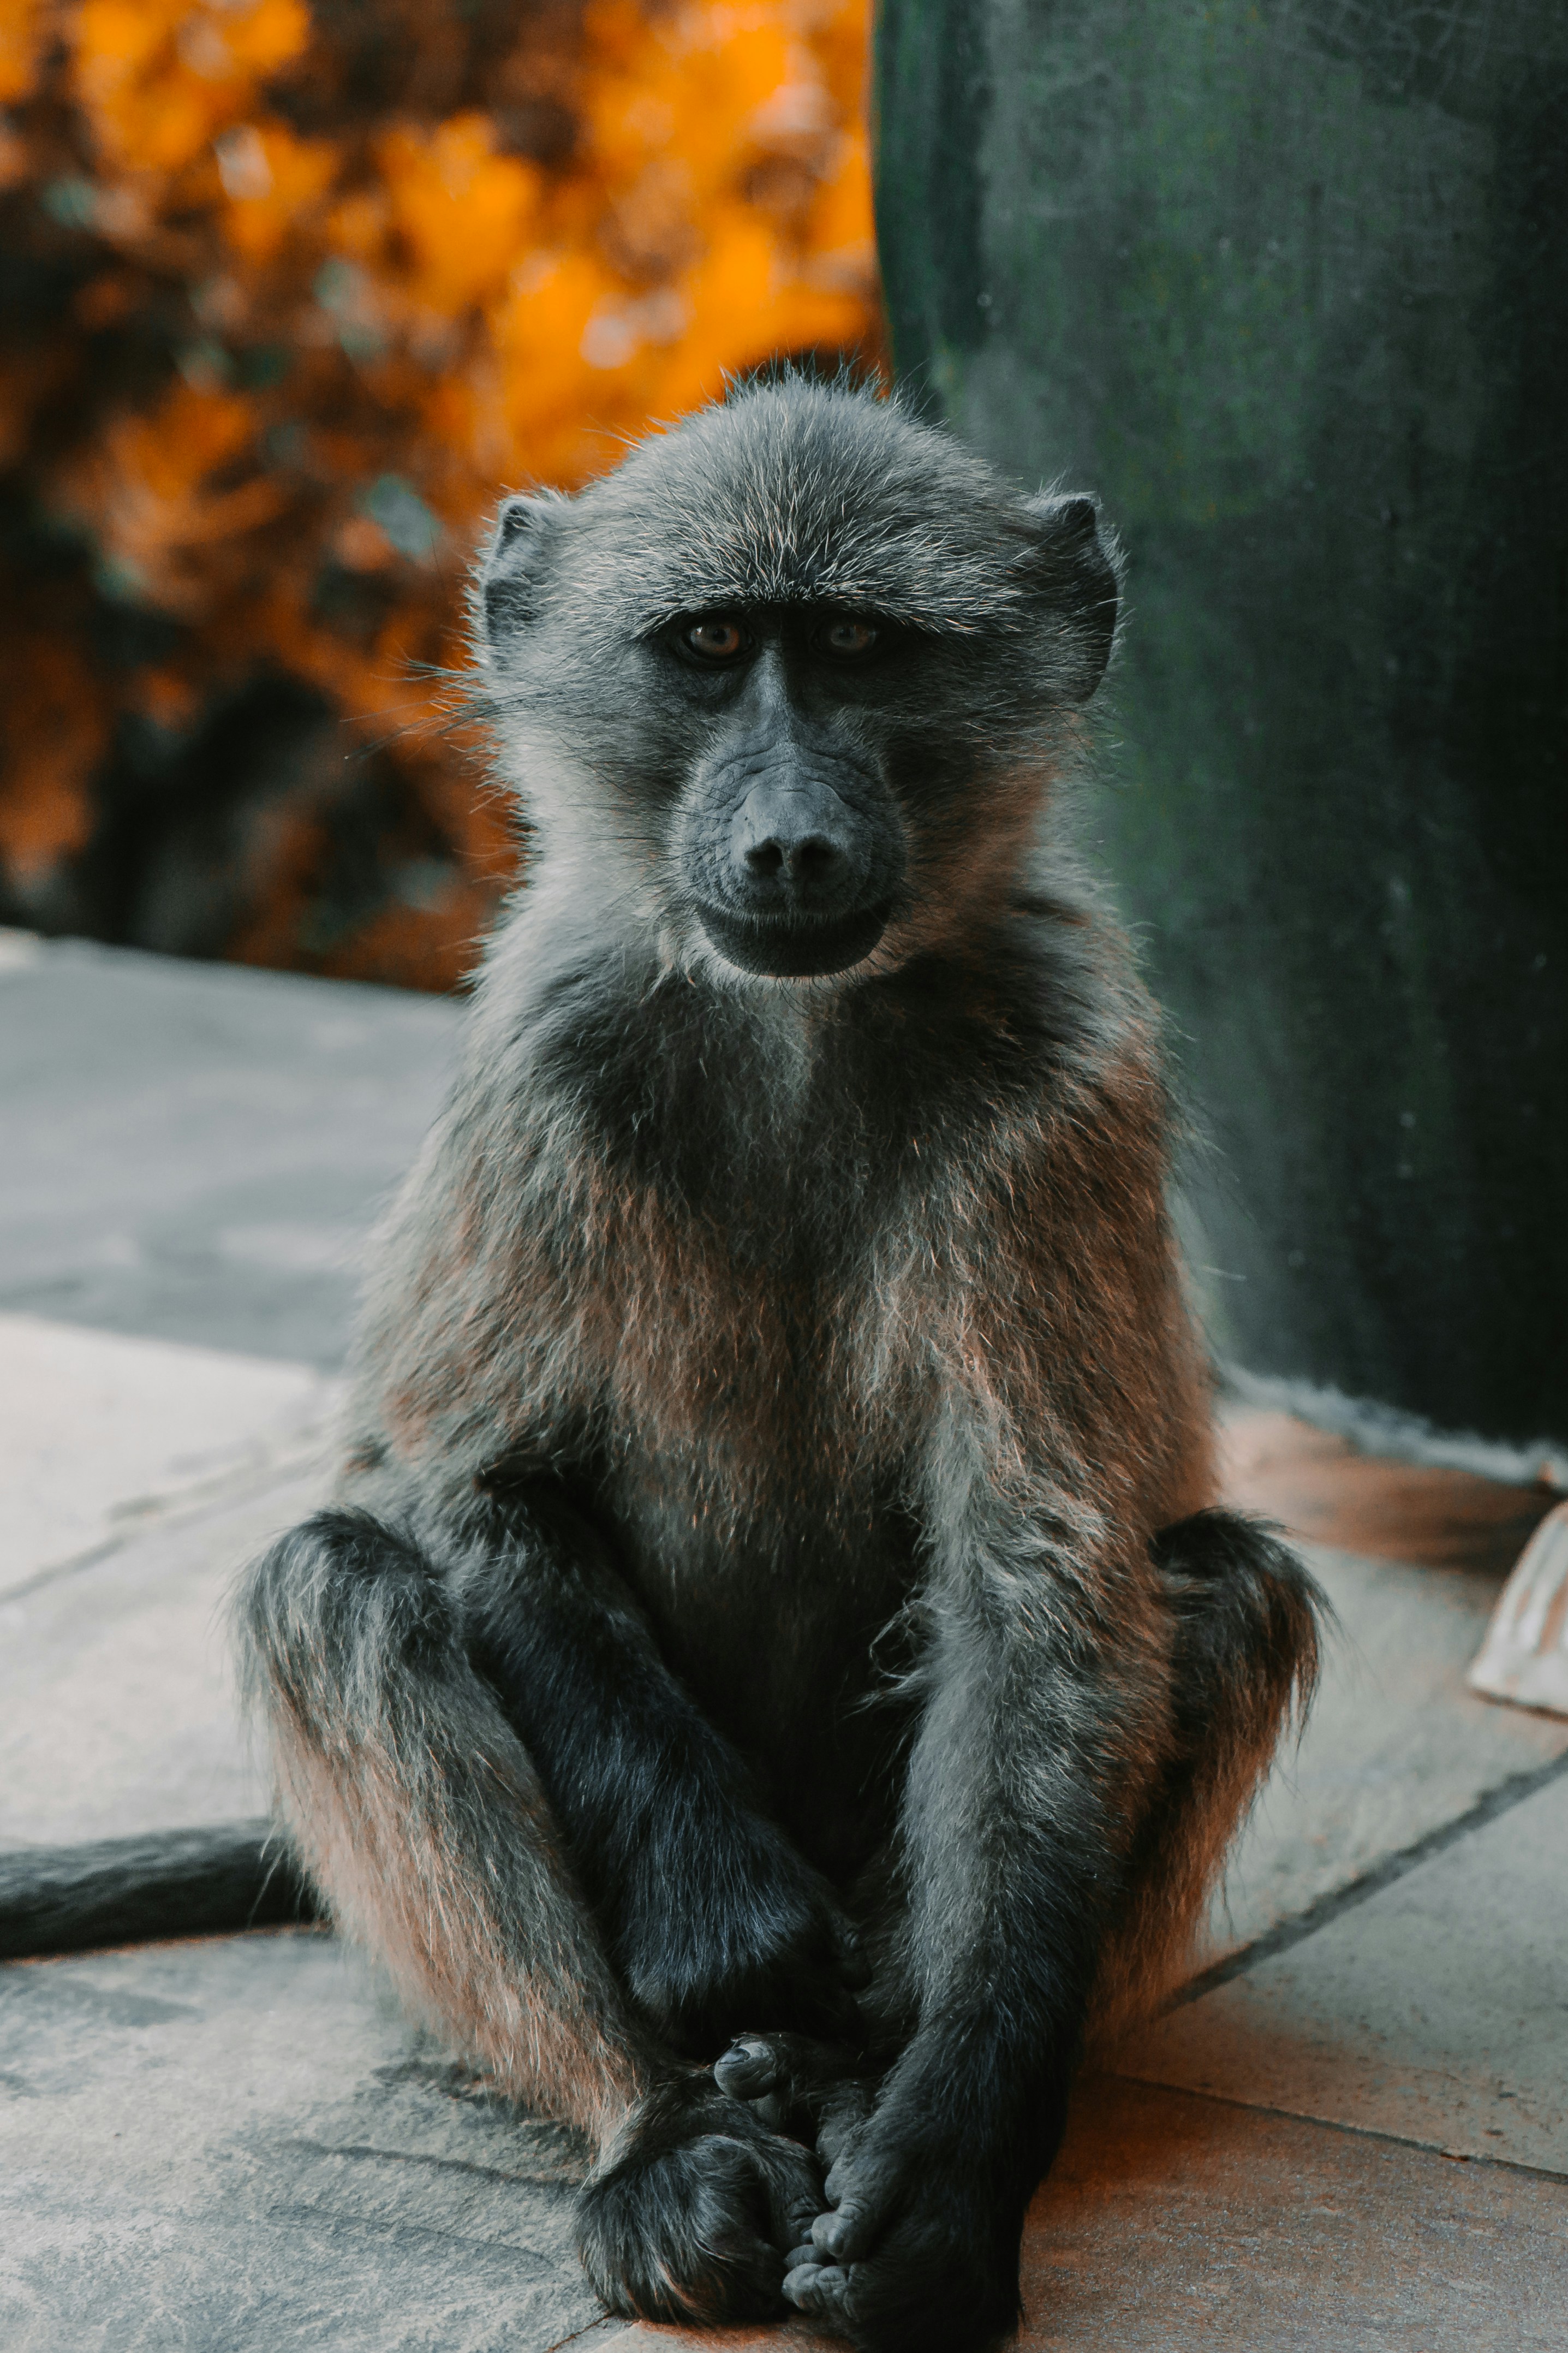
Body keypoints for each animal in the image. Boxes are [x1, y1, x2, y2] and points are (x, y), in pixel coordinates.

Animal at [237, 373, 1322, 2353]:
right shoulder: (538, 1056)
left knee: (1216, 1589)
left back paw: (862, 2073)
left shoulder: (1064, 1089)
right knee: (332, 1585)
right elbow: (445, 1475)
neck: (796, 1025)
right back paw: (671, 2133)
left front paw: (947, 2160)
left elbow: (1038, 1572)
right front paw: (720, 1926)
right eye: (712, 646)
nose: (794, 848)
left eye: (860, 649)